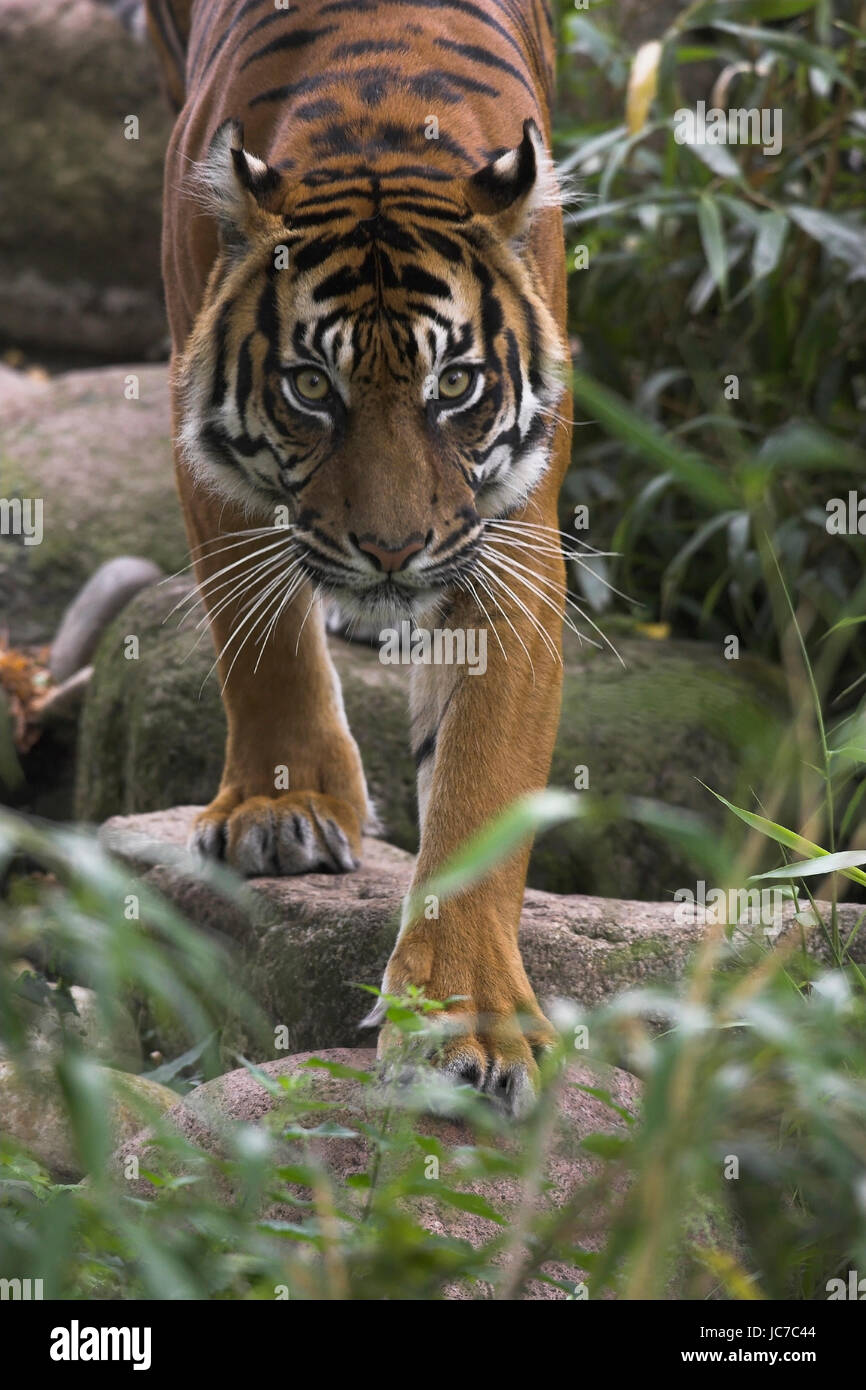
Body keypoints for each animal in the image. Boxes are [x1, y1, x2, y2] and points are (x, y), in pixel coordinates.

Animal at [145, 0, 572, 1114]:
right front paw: (281, 808)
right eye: (310, 387)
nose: (390, 550)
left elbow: (479, 778)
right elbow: (261, 646)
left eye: (454, 385)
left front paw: (466, 1021)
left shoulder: (508, 533)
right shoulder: (197, 433)